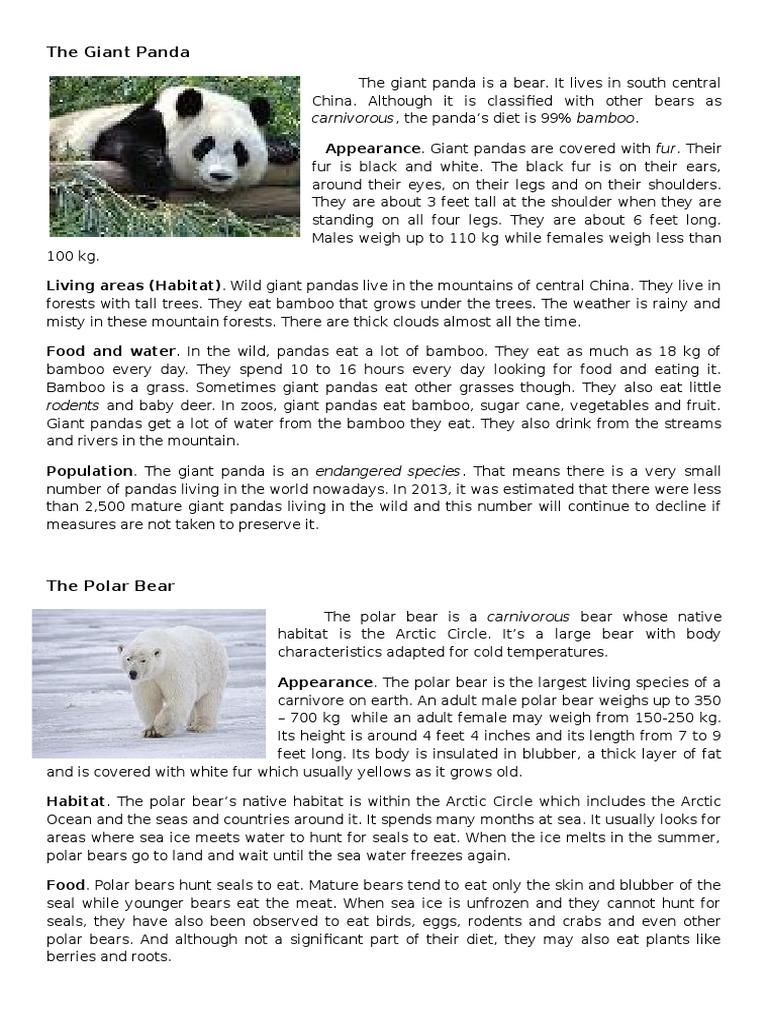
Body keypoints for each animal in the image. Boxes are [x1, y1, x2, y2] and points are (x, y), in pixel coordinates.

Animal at [50, 86, 296, 198]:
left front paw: (282, 148)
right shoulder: (145, 119)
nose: (220, 176)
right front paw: (155, 182)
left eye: (240, 151)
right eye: (205, 145)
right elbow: (115, 141)